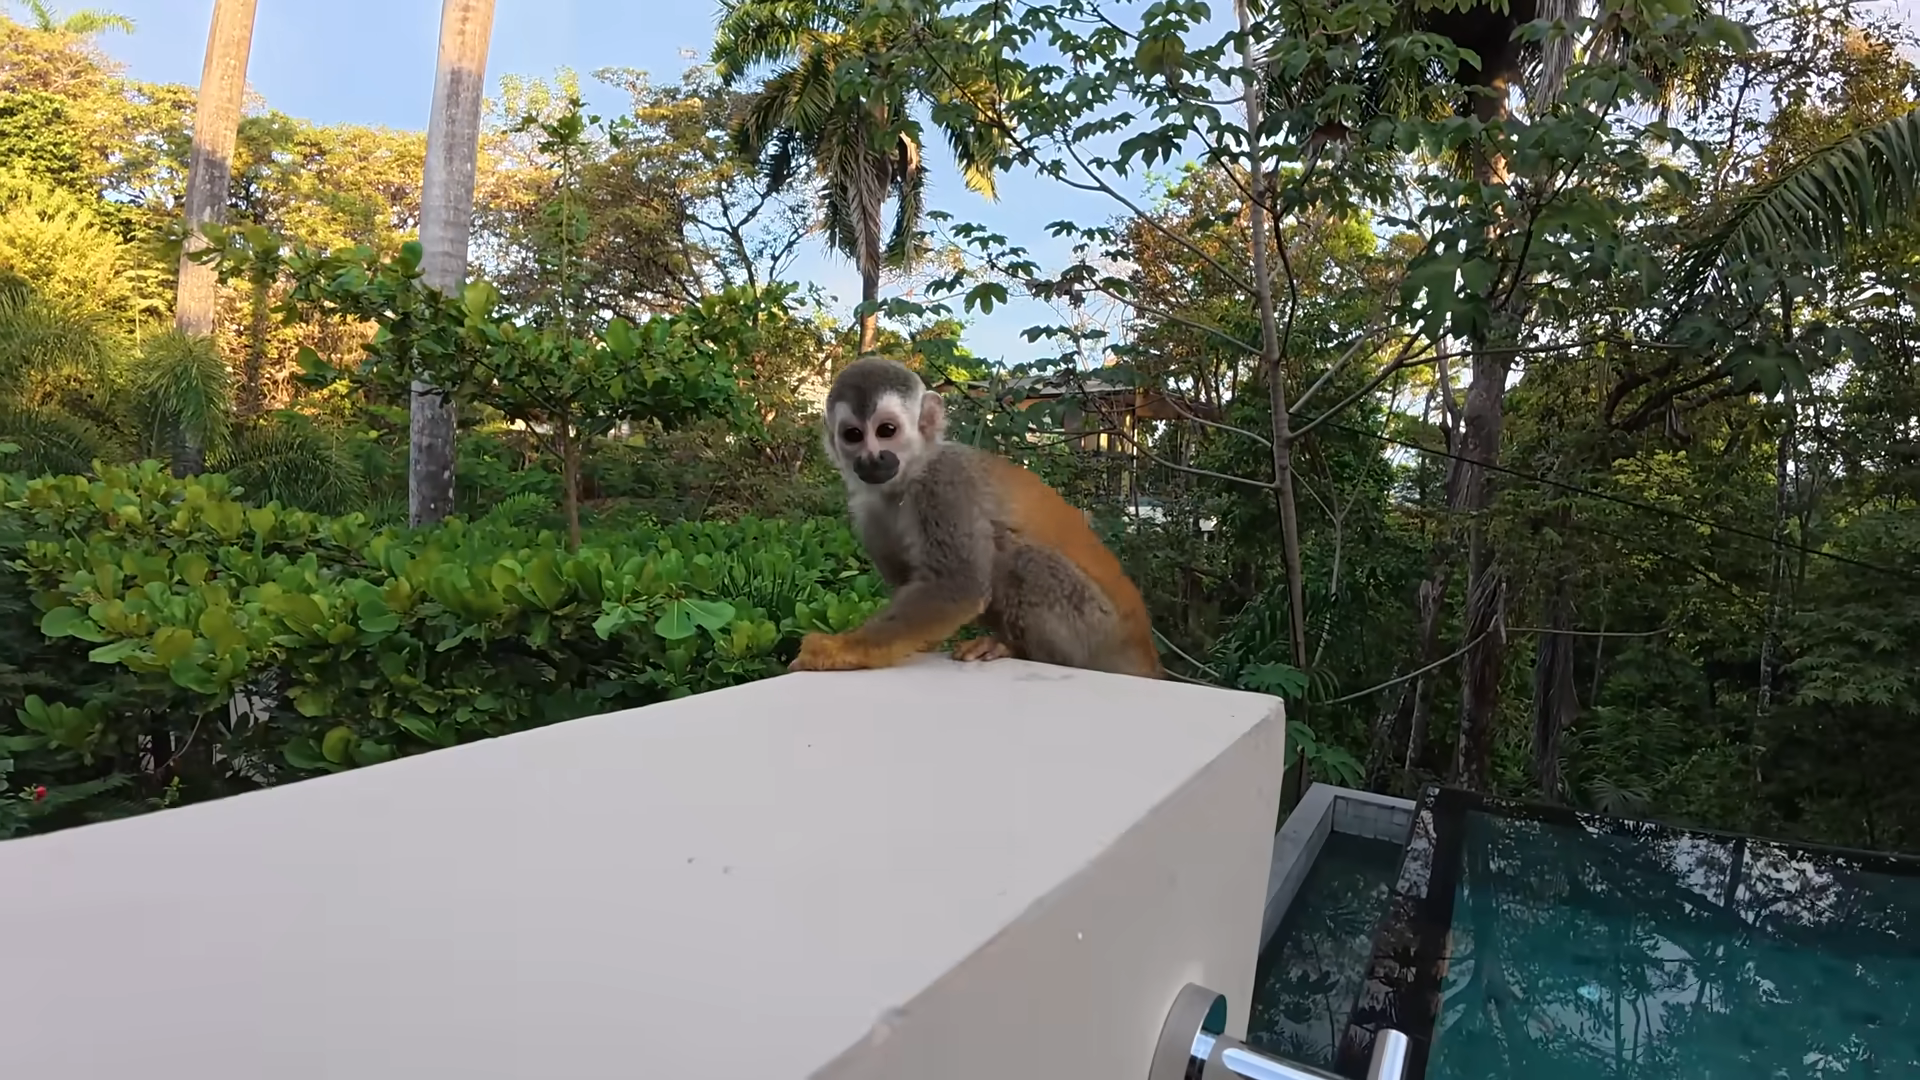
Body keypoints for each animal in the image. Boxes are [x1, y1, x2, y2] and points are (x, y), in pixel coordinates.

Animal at [787, 356, 1165, 680]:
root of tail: (1144, 654)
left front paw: (837, 649)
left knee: (1021, 558)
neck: (912, 474)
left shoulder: (945, 484)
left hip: (1097, 631)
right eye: (853, 435)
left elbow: (959, 586)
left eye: (887, 430)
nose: (872, 458)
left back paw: (1019, 650)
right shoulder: (869, 509)